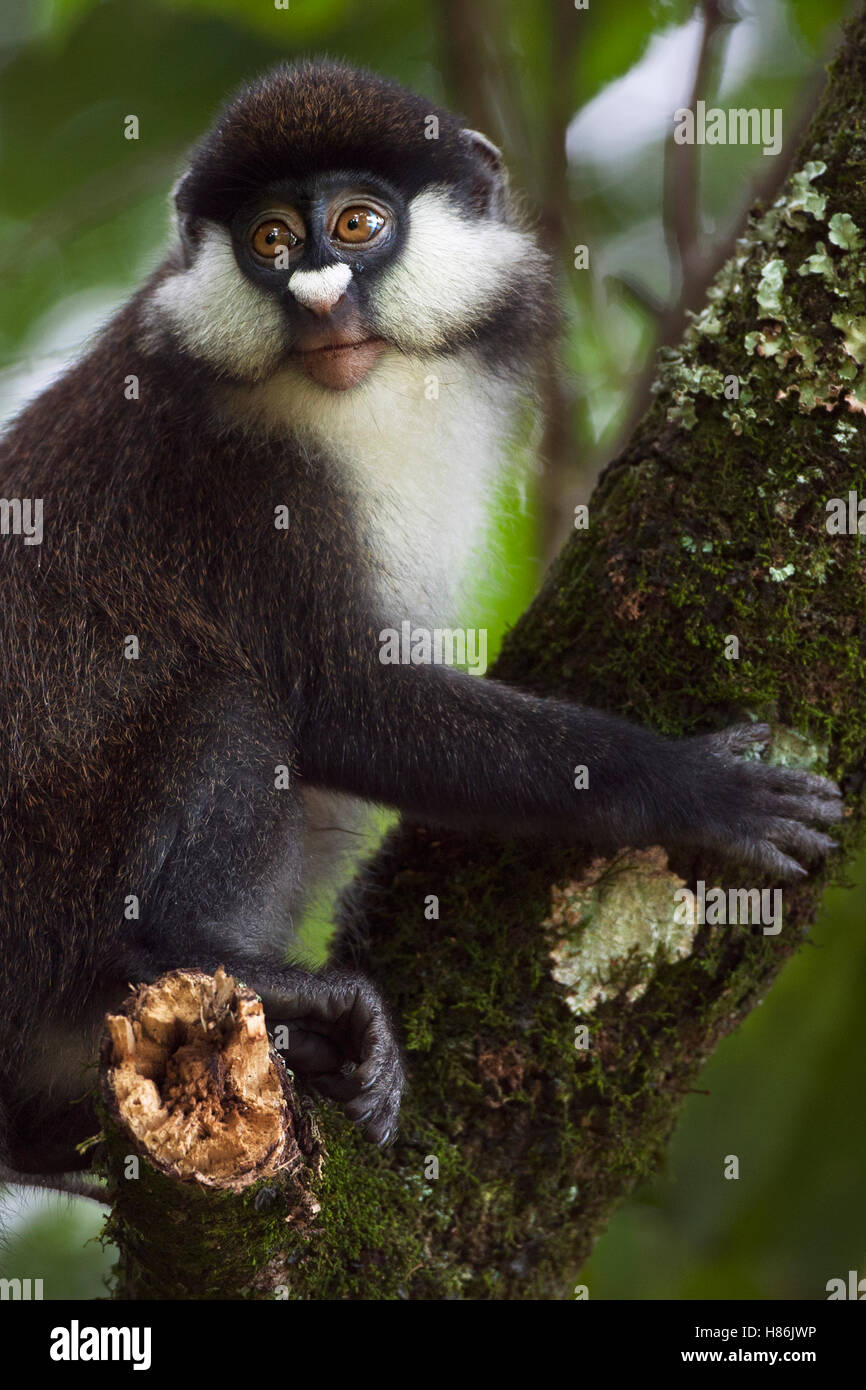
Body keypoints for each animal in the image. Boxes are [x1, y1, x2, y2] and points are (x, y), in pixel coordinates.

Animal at [0, 60, 842, 1181]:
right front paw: (689, 786)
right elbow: (339, 699)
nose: (317, 296)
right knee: (234, 708)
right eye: (271, 241)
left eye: (357, 224)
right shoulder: (237, 482)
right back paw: (178, 958)